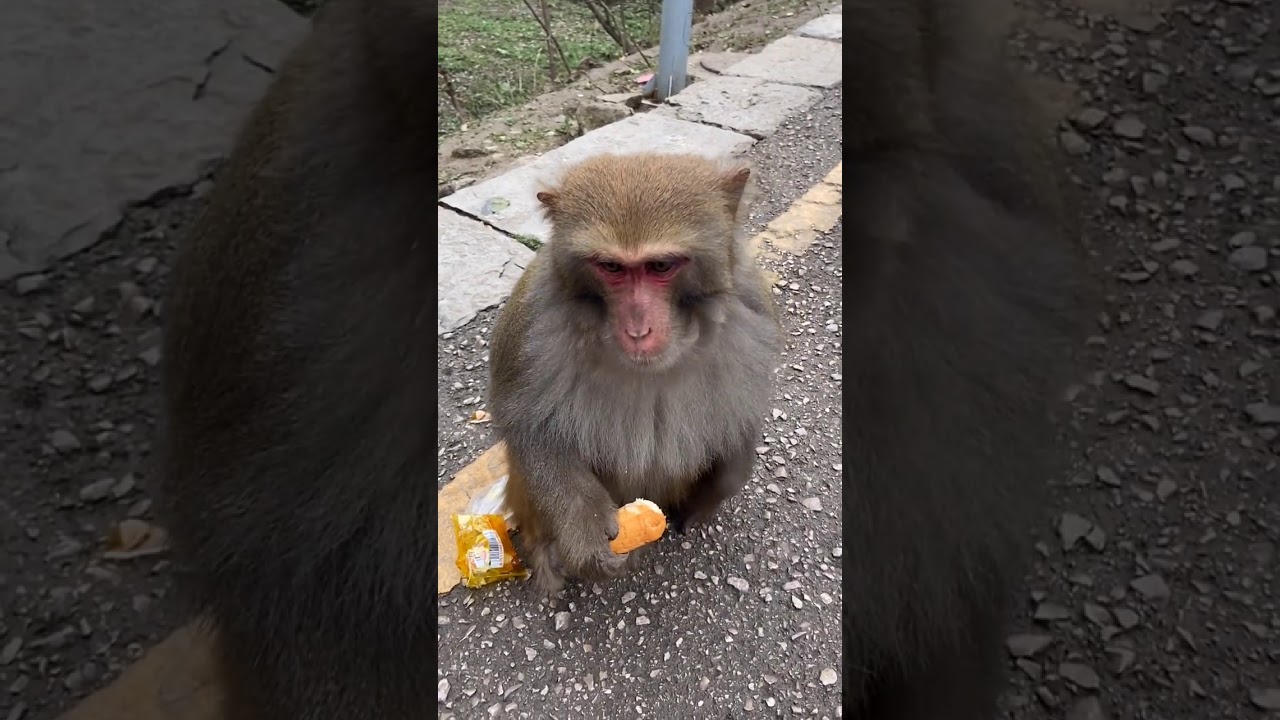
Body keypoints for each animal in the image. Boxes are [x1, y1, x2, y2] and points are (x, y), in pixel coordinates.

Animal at [488, 152, 783, 595]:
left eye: (660, 265)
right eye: (611, 266)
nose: (638, 330)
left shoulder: (752, 306)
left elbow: (738, 405)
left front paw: (714, 494)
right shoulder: (530, 321)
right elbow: (527, 424)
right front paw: (585, 532)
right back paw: (547, 551)